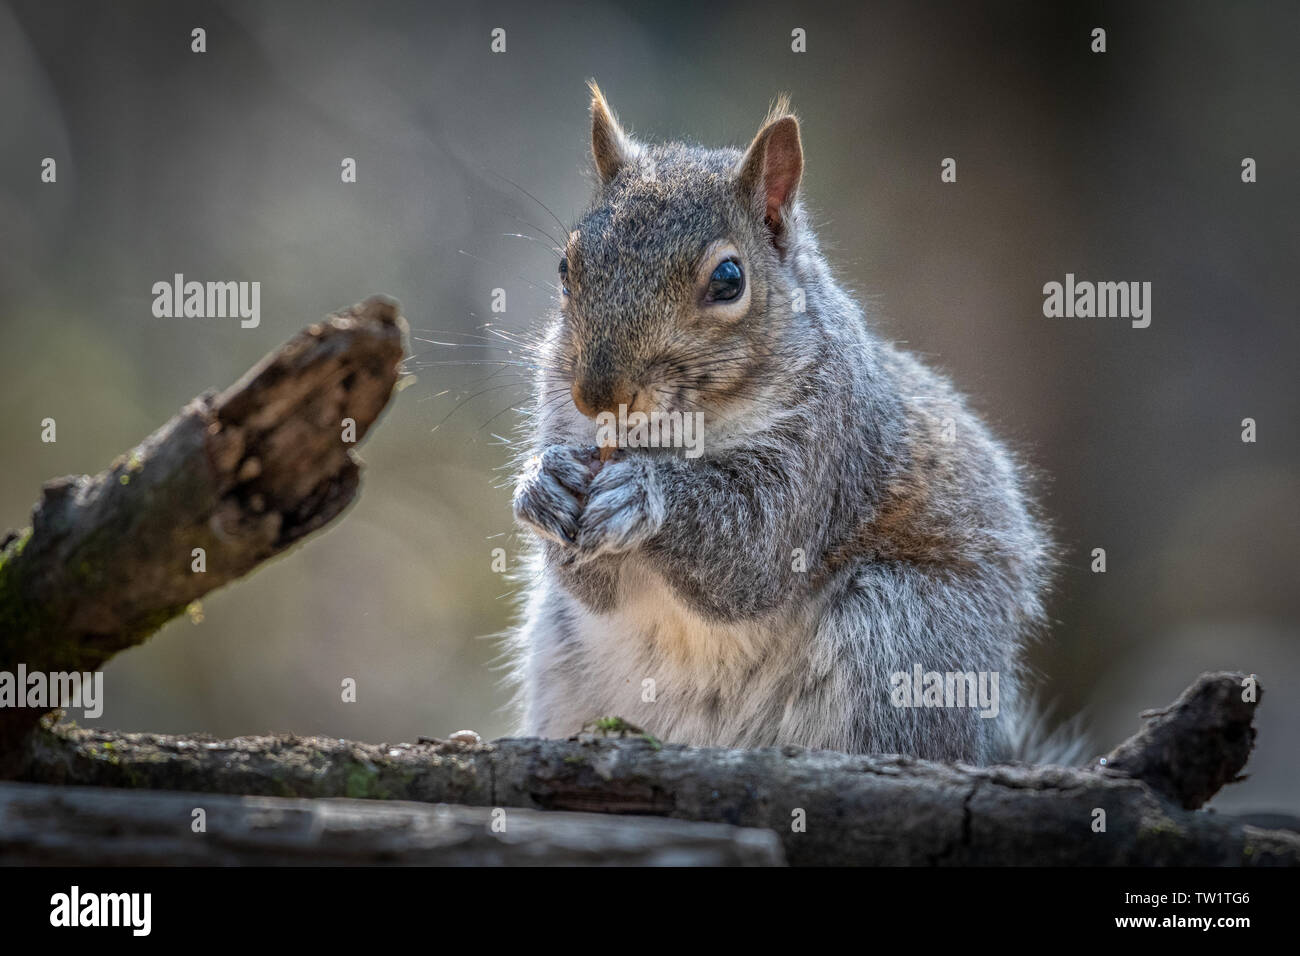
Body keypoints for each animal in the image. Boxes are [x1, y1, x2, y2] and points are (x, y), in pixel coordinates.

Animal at [506, 84, 1055, 764]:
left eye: (729, 279)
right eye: (566, 267)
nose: (598, 396)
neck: (679, 435)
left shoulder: (828, 441)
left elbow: (759, 544)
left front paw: (644, 492)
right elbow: (592, 585)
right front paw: (543, 483)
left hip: (902, 632)